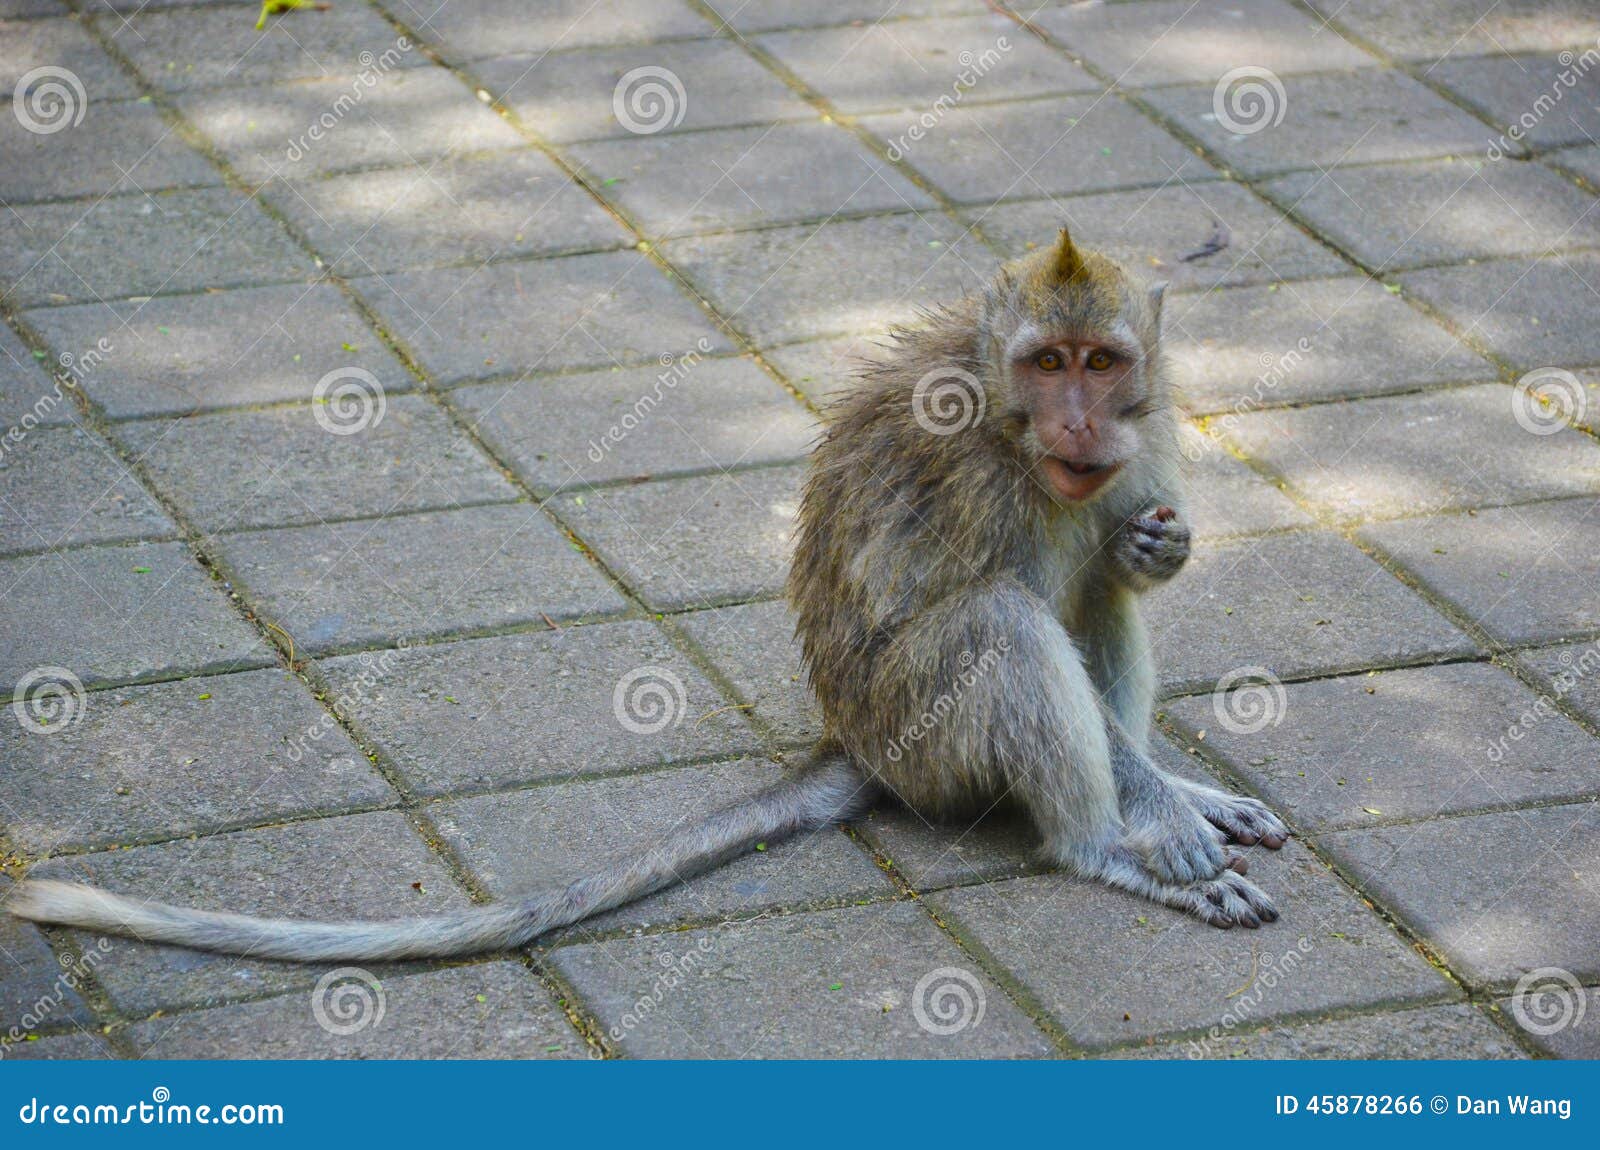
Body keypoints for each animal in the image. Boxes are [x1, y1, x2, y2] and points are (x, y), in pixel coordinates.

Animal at [5, 228, 1287, 962]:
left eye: (1103, 363)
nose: (1079, 425)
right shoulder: (969, 475)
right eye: (1045, 364)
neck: (1018, 432)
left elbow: (1123, 558)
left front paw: (1159, 575)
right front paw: (1152, 816)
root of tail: (851, 744)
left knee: (1088, 600)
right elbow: (998, 598)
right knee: (1001, 623)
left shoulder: (1143, 439)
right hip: (920, 739)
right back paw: (1101, 845)